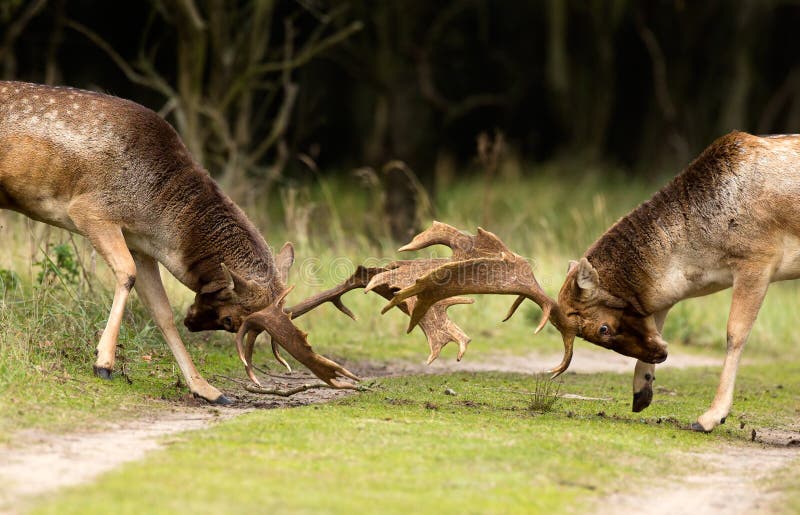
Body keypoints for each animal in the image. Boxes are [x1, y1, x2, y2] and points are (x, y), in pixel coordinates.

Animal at [383, 131, 800, 432]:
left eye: (602, 328)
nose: (661, 355)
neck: (704, 252)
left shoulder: (758, 258)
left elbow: (735, 333)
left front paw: (708, 418)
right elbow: (660, 309)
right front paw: (642, 392)